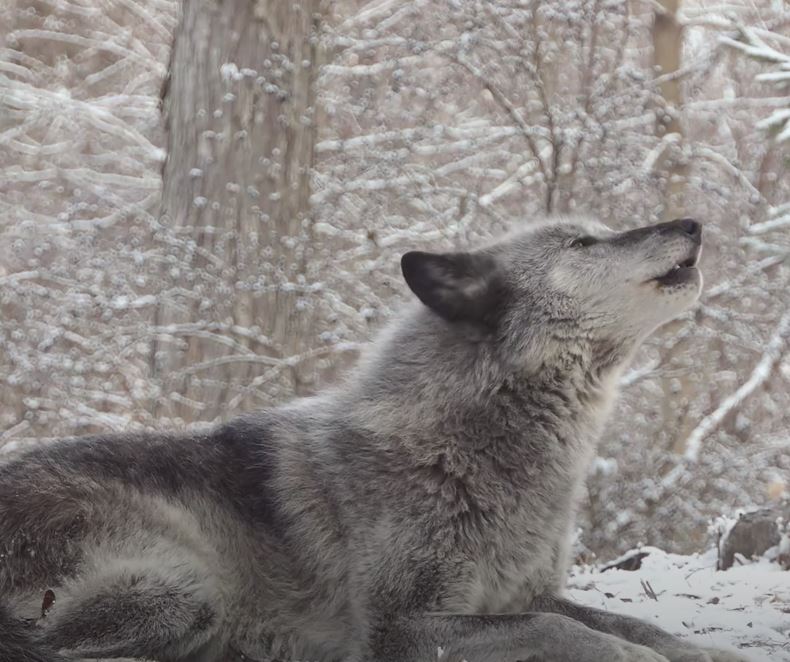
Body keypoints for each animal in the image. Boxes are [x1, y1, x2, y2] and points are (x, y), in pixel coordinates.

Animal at [0, 217, 748, 662]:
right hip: (177, 590)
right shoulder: (404, 628)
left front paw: (707, 652)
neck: (466, 445)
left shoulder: (522, 595)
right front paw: (634, 658)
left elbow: (637, 624)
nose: (691, 221)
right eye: (583, 245)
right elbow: (573, 633)